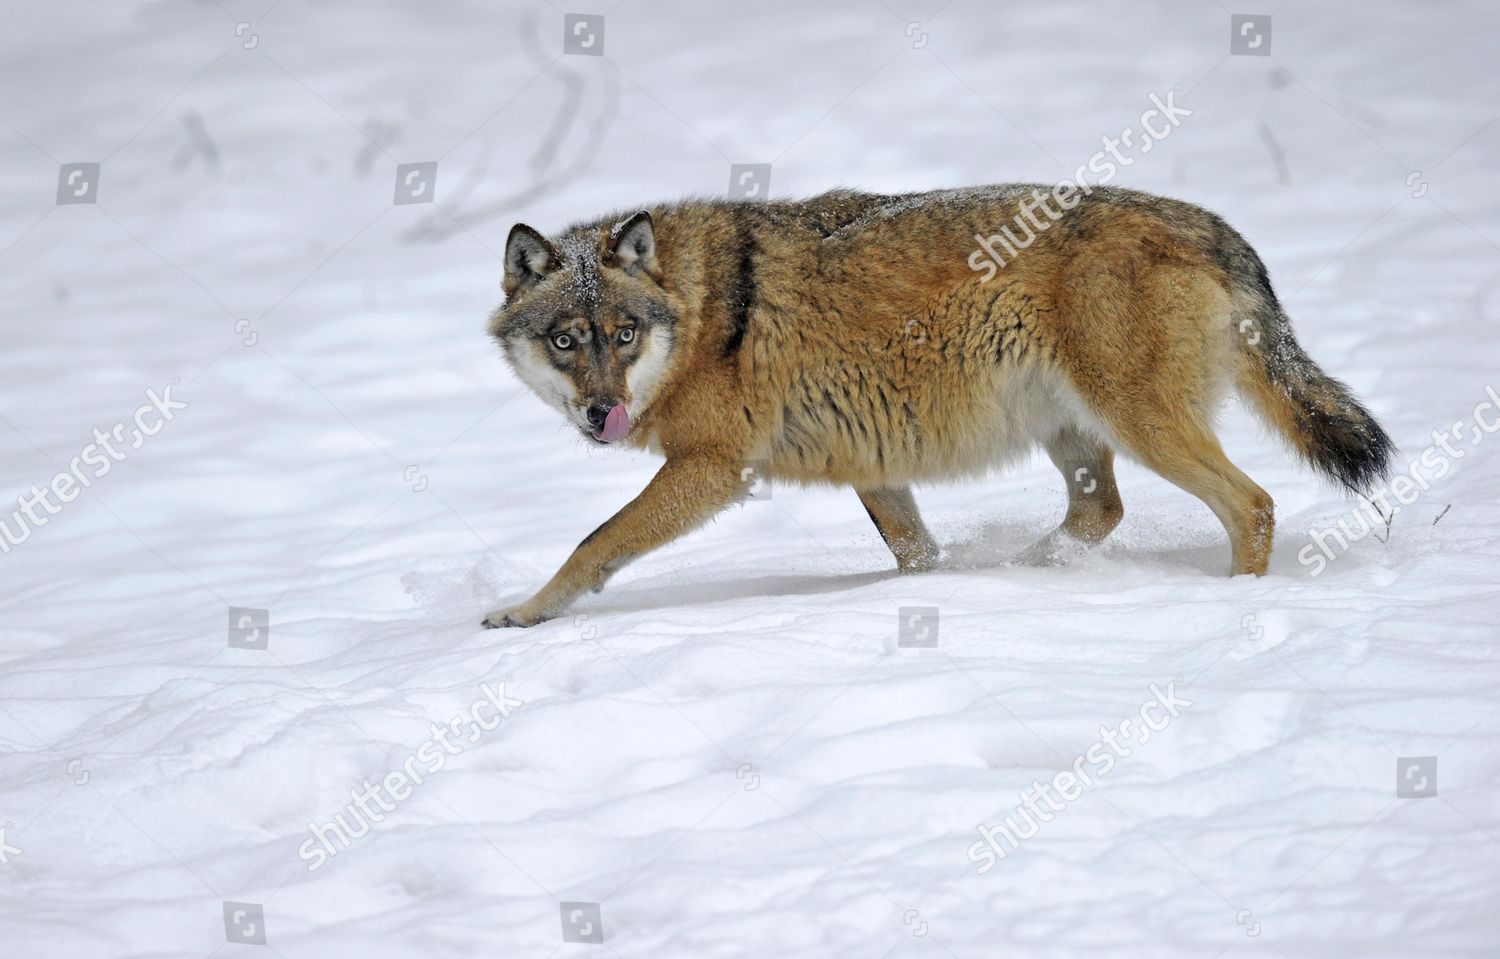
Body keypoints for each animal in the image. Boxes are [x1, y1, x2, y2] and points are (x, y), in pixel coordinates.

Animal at [482, 185, 1393, 628]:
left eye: (623, 333)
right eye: (566, 340)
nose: (602, 413)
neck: (706, 310)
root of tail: (1213, 226)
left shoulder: (711, 467)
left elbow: (595, 542)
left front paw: (523, 612)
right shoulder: (869, 462)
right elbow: (915, 555)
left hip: (1142, 426)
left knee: (1255, 504)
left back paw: (1236, 601)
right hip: (1073, 429)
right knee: (1101, 512)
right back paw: (1025, 570)